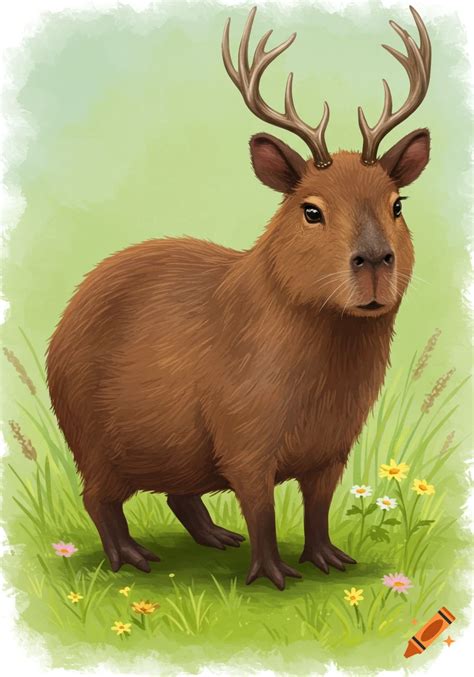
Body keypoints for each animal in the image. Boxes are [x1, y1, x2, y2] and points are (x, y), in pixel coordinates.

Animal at [46, 5, 431, 590]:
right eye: (311, 209)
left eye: (398, 203)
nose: (374, 261)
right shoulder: (244, 442)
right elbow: (261, 509)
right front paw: (273, 575)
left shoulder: (333, 450)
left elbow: (318, 508)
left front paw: (330, 560)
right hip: (95, 444)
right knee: (99, 500)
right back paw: (131, 558)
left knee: (179, 495)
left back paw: (216, 538)